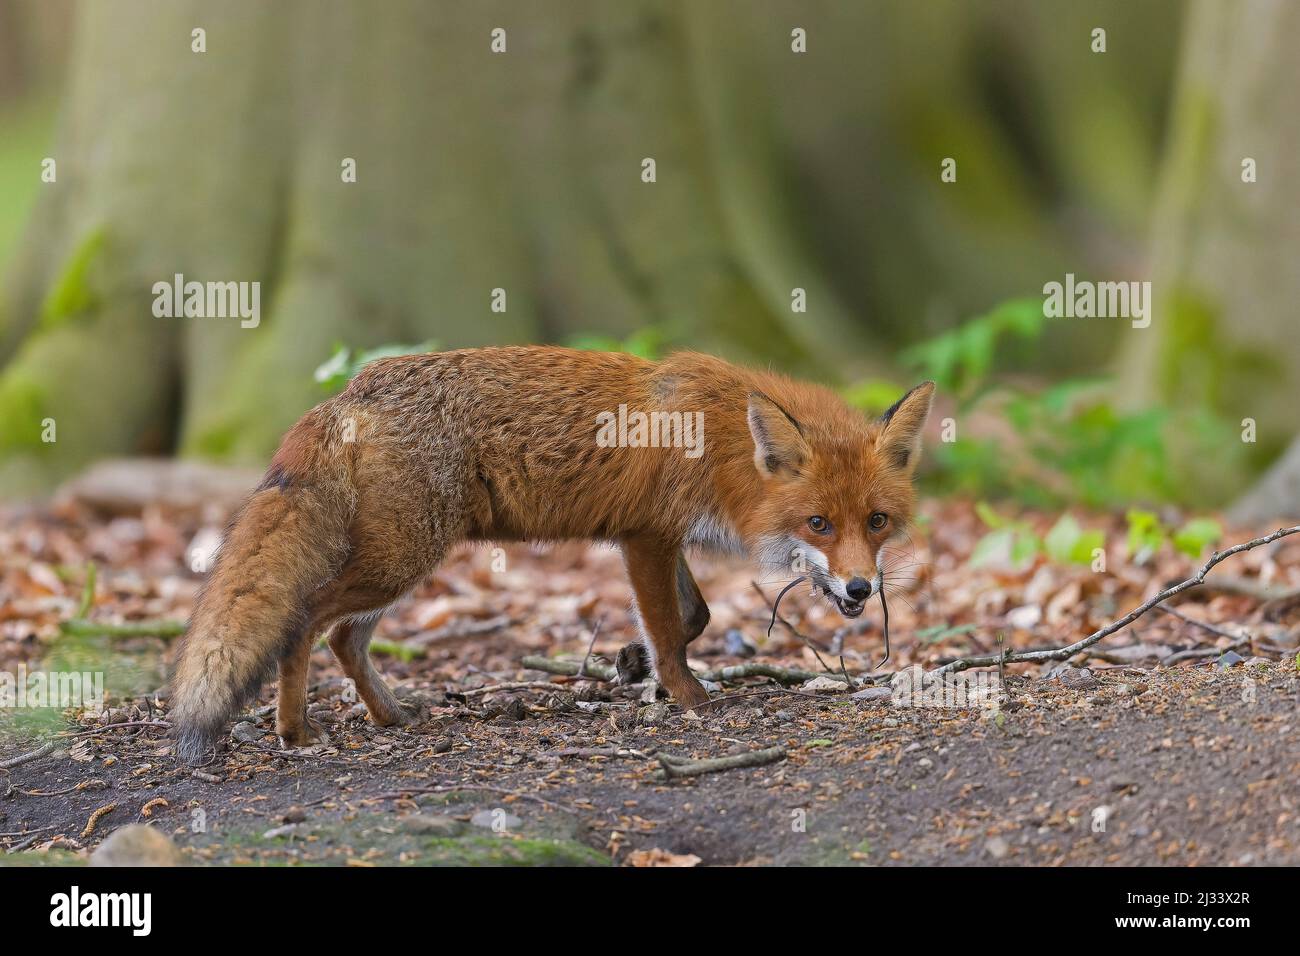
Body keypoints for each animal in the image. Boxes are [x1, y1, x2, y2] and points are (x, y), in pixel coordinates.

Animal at [169, 346, 934, 762]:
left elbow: (696, 618)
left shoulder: (665, 540)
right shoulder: (645, 537)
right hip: (402, 558)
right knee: (305, 621)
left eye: (876, 521)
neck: (719, 443)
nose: (861, 590)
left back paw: (390, 716)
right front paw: (686, 697)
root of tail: (352, 389)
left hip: (402, 561)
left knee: (344, 639)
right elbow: (670, 629)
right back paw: (295, 730)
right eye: (817, 524)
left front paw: (633, 667)